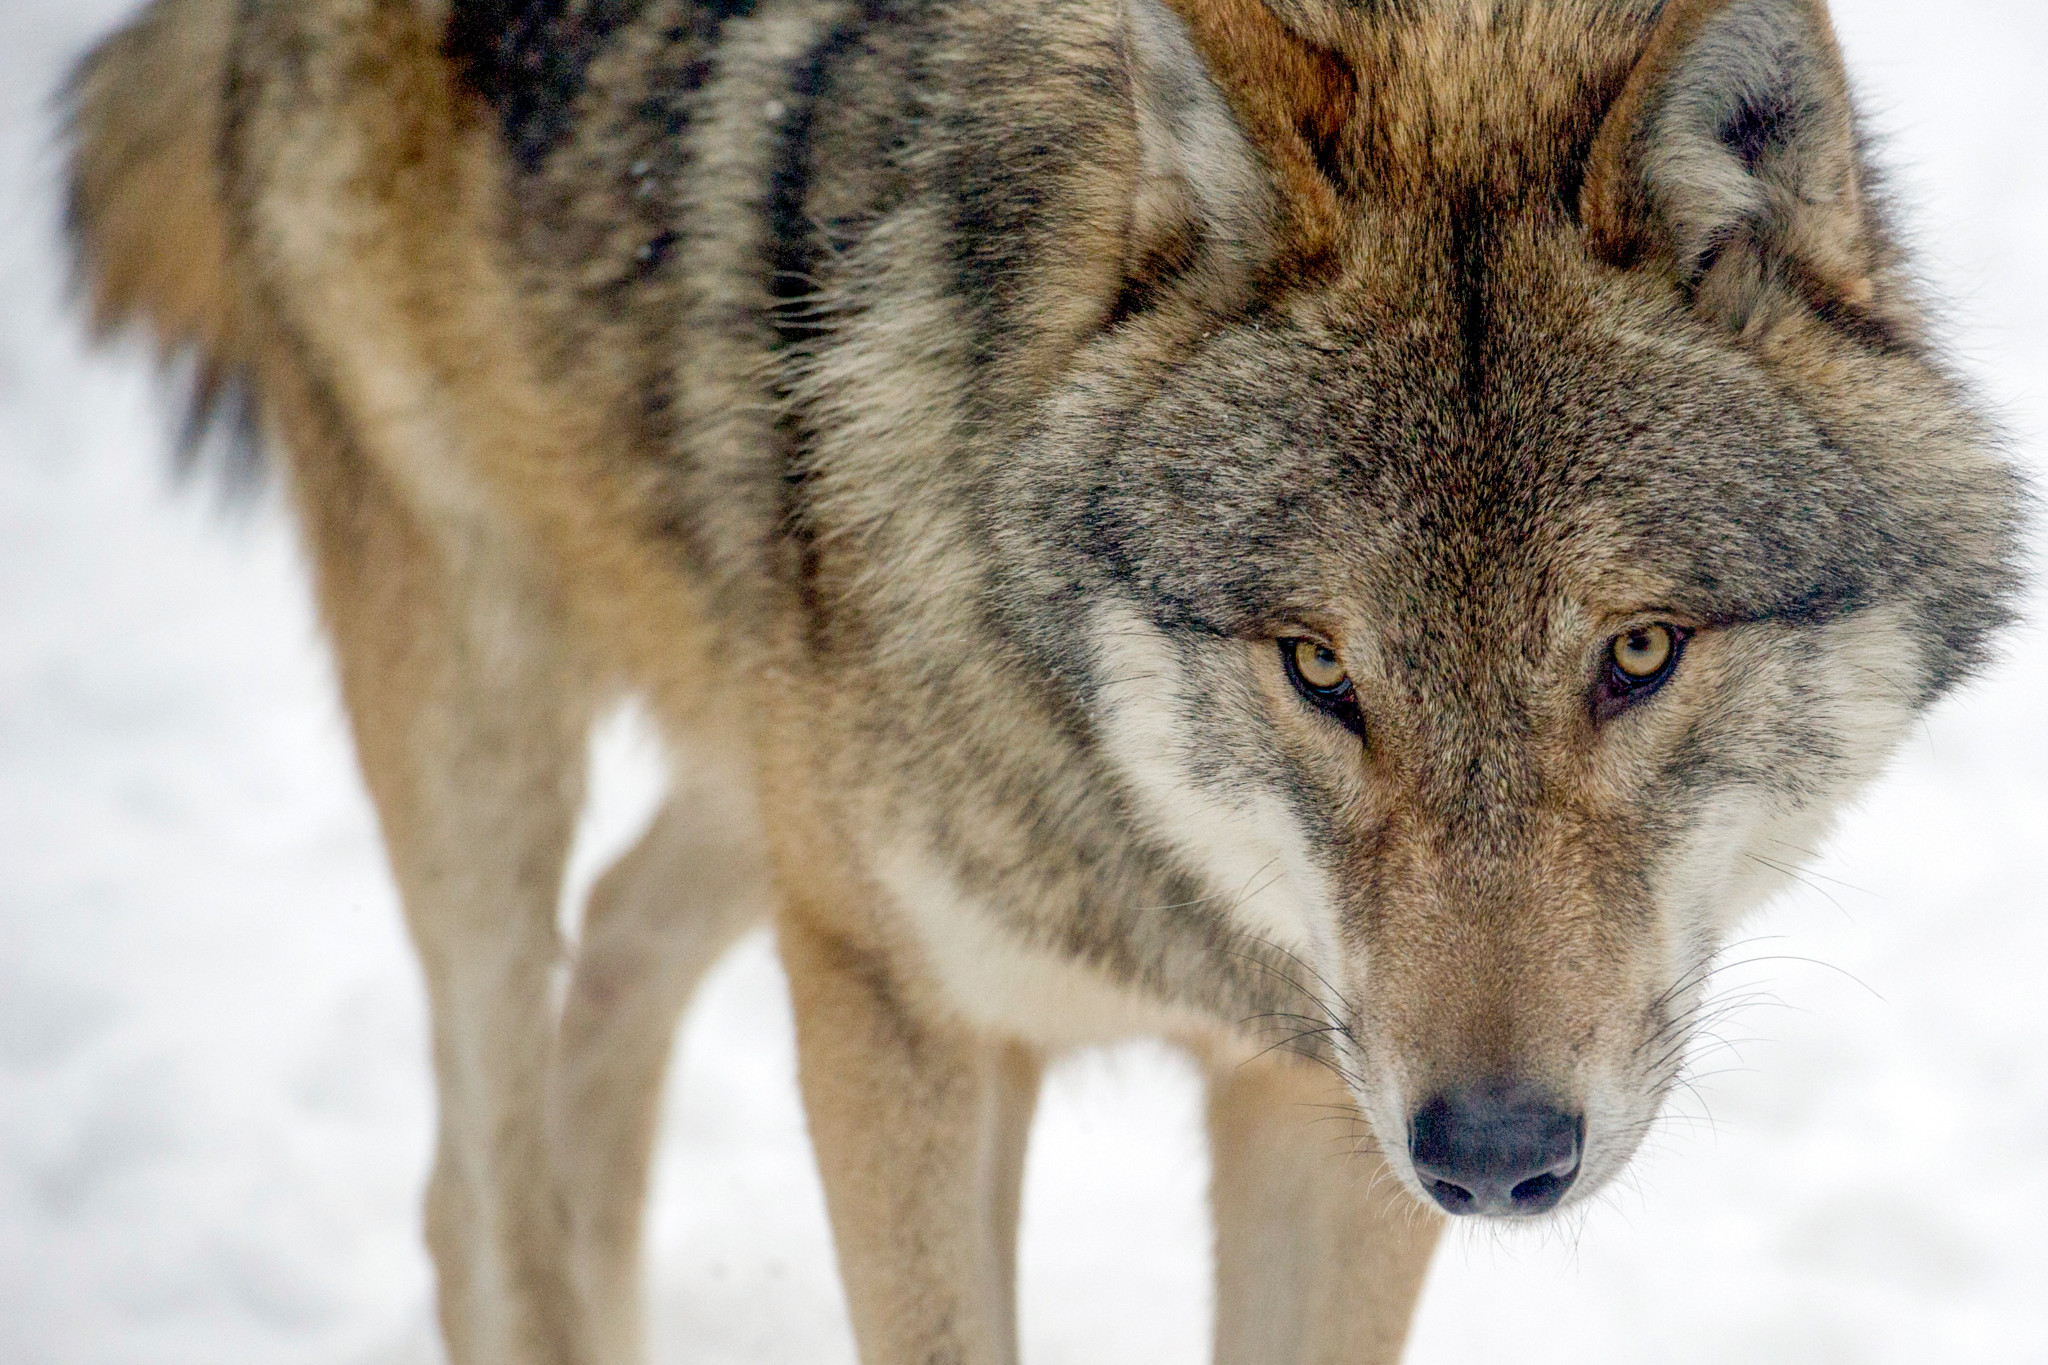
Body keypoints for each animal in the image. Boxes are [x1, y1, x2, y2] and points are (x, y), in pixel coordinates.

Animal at [64, 0, 2025, 1359]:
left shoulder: (1321, 1109)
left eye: (1635, 654)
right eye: (1319, 666)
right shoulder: (904, 1021)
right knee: (481, 1172)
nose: (1489, 1151)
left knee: (612, 958)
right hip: (488, 727)